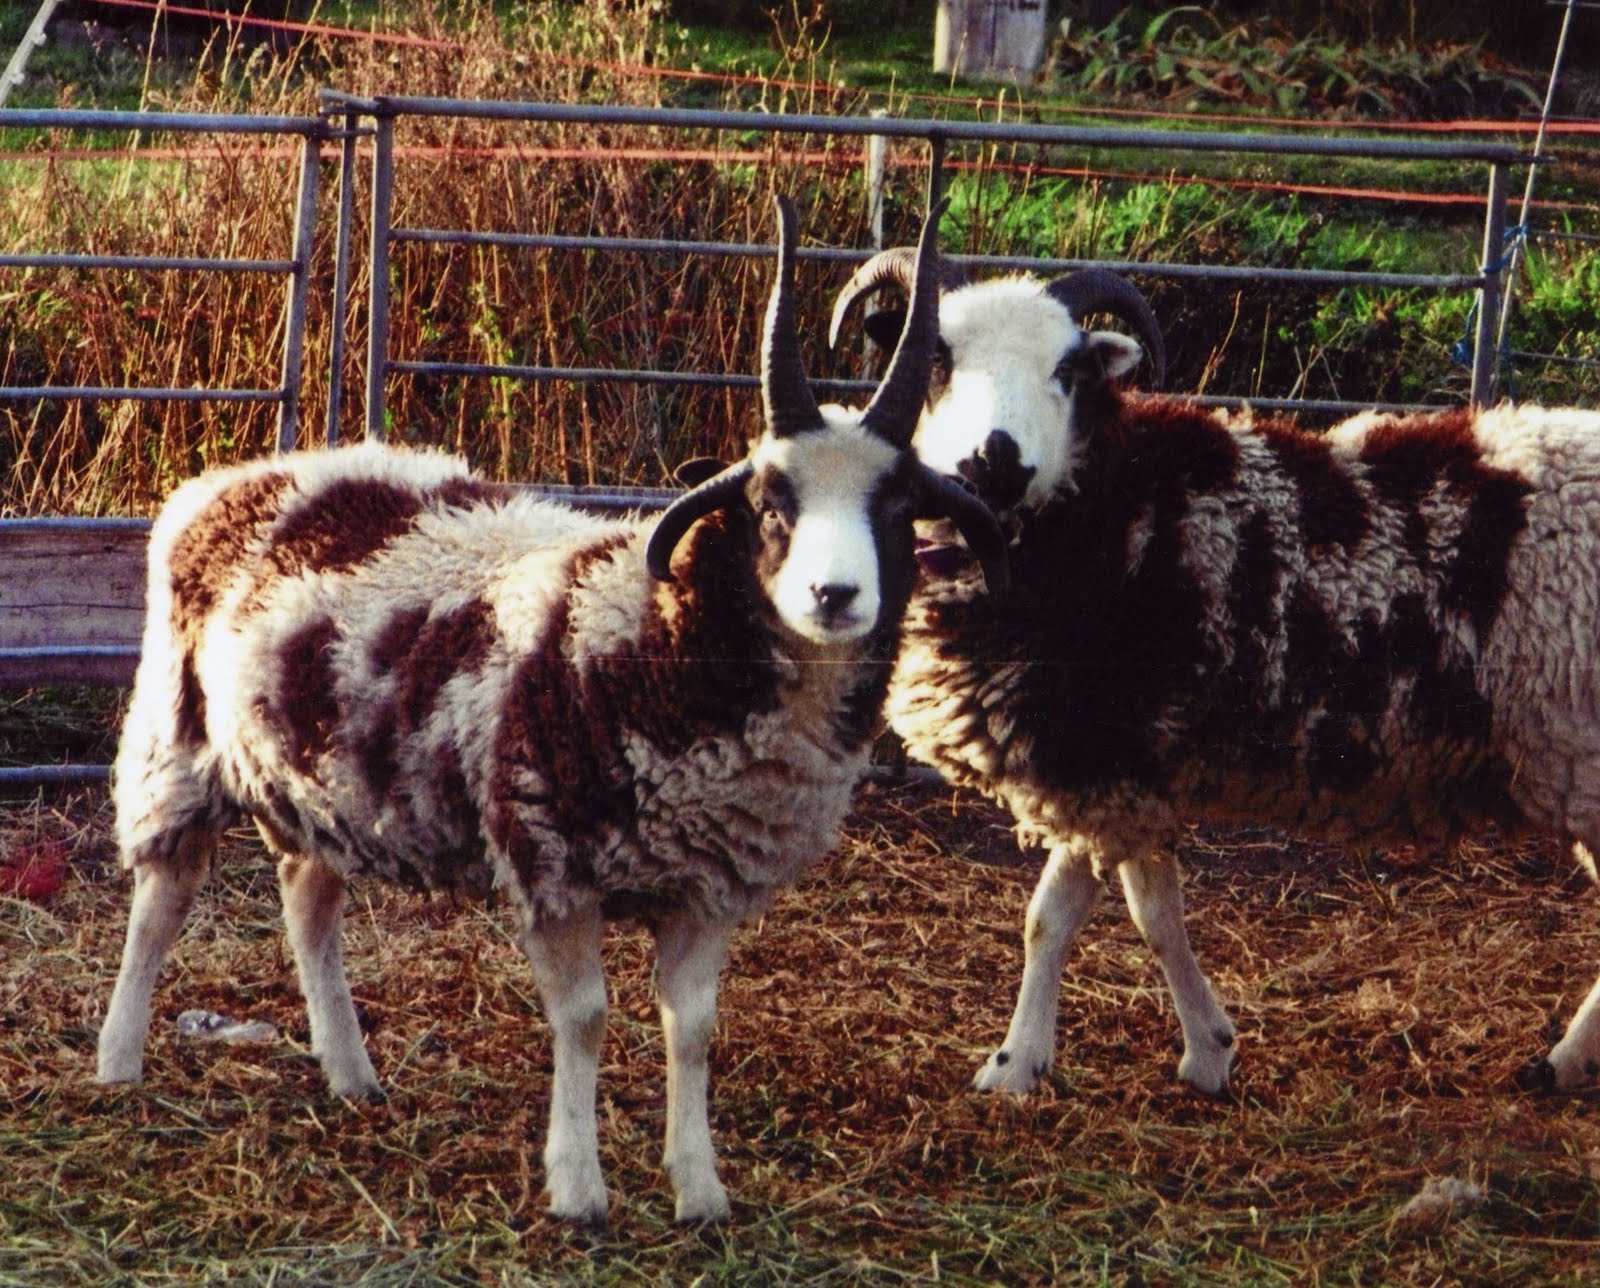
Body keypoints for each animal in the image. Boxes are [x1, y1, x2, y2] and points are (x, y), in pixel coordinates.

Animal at [95, 196, 1006, 1226]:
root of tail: (241, 478)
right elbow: (586, 1018)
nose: (835, 595)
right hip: (175, 737)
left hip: (323, 776)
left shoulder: (709, 883)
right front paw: (577, 1186)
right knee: (162, 899)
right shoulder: (552, 859)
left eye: (896, 509)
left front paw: (699, 1186)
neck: (656, 635)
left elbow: (693, 1028)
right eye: (772, 503)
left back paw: (351, 1070)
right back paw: (120, 1060)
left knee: (307, 897)